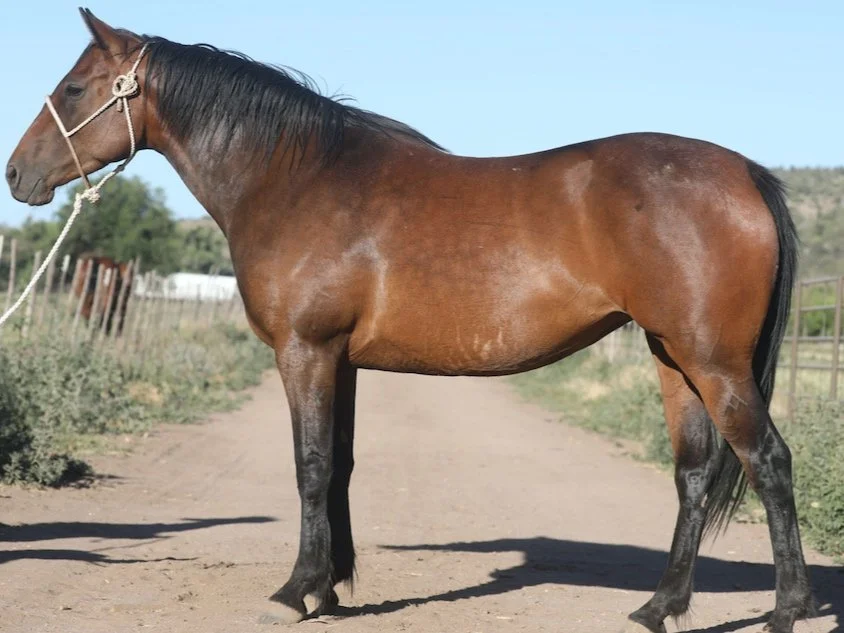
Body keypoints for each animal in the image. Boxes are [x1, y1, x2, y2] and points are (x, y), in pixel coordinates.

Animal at [5, 9, 814, 633]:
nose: (16, 175)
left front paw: (294, 592)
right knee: (695, 473)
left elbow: (309, 466)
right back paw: (660, 606)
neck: (298, 179)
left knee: (769, 462)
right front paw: (329, 587)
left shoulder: (305, 351)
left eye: (73, 88)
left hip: (714, 361)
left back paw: (787, 608)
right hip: (674, 357)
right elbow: (338, 466)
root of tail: (745, 172)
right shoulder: (341, 360)